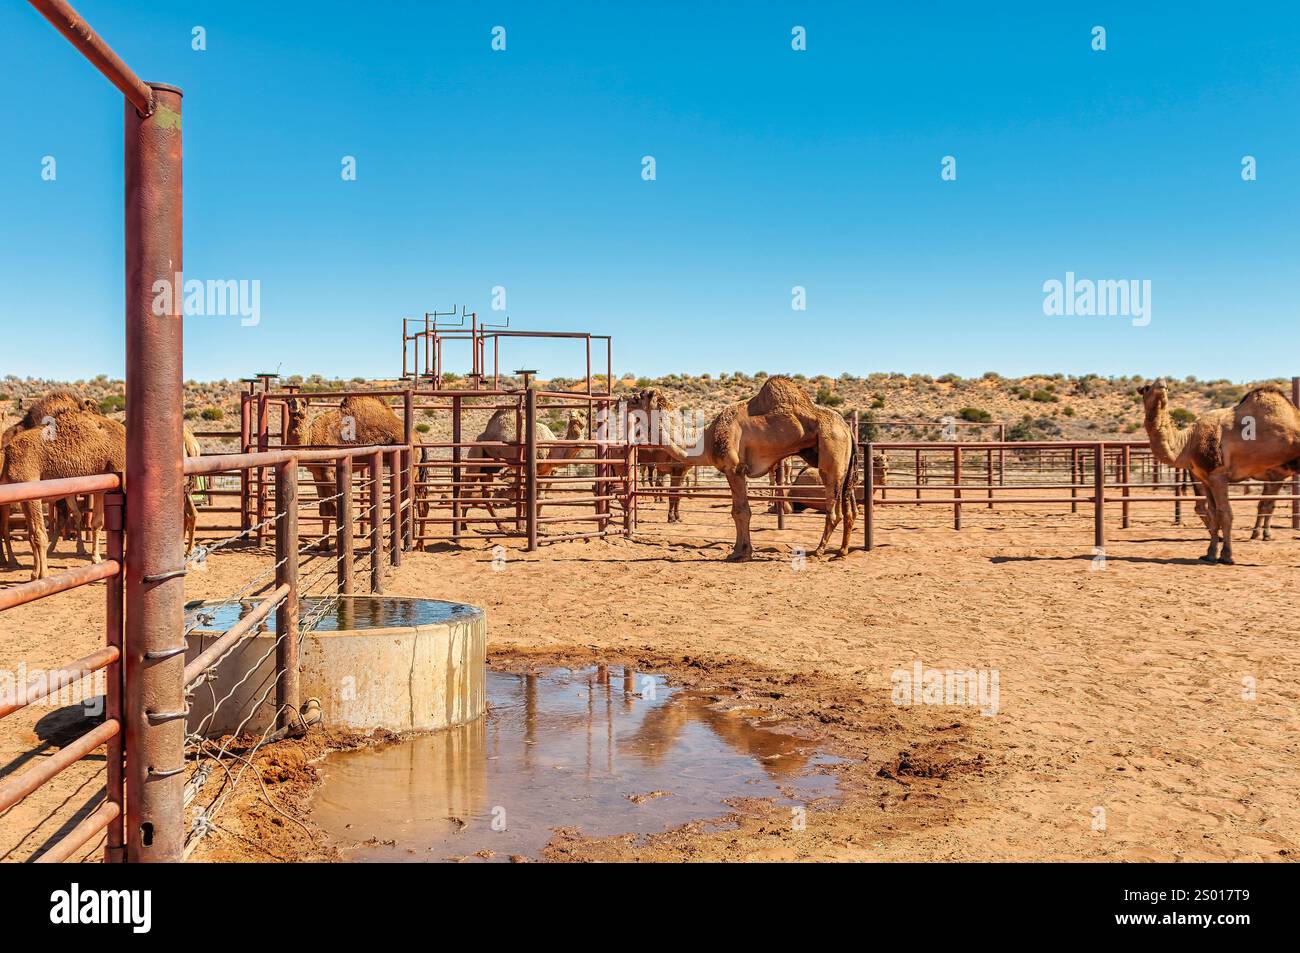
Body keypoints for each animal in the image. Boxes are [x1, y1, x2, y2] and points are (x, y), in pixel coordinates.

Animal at [285, 395, 405, 542]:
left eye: (303, 403)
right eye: (289, 402)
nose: (294, 407)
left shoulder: (329, 471)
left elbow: (337, 507)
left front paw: (338, 542)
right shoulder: (317, 475)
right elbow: (325, 510)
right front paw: (323, 544)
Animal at [627, 376, 857, 560]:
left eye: (639, 396)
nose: (626, 399)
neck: (705, 439)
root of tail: (847, 428)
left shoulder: (734, 468)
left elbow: (740, 511)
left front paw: (740, 553)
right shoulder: (739, 471)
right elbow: (739, 510)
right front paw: (741, 550)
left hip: (831, 454)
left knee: (833, 508)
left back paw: (818, 551)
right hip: (845, 466)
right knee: (850, 509)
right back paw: (841, 552)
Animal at [1139, 379, 1300, 563]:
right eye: (1146, 388)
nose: (1162, 383)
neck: (1188, 442)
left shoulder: (1218, 475)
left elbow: (1225, 513)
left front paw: (1227, 555)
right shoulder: (1206, 478)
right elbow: (1214, 513)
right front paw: (1210, 554)